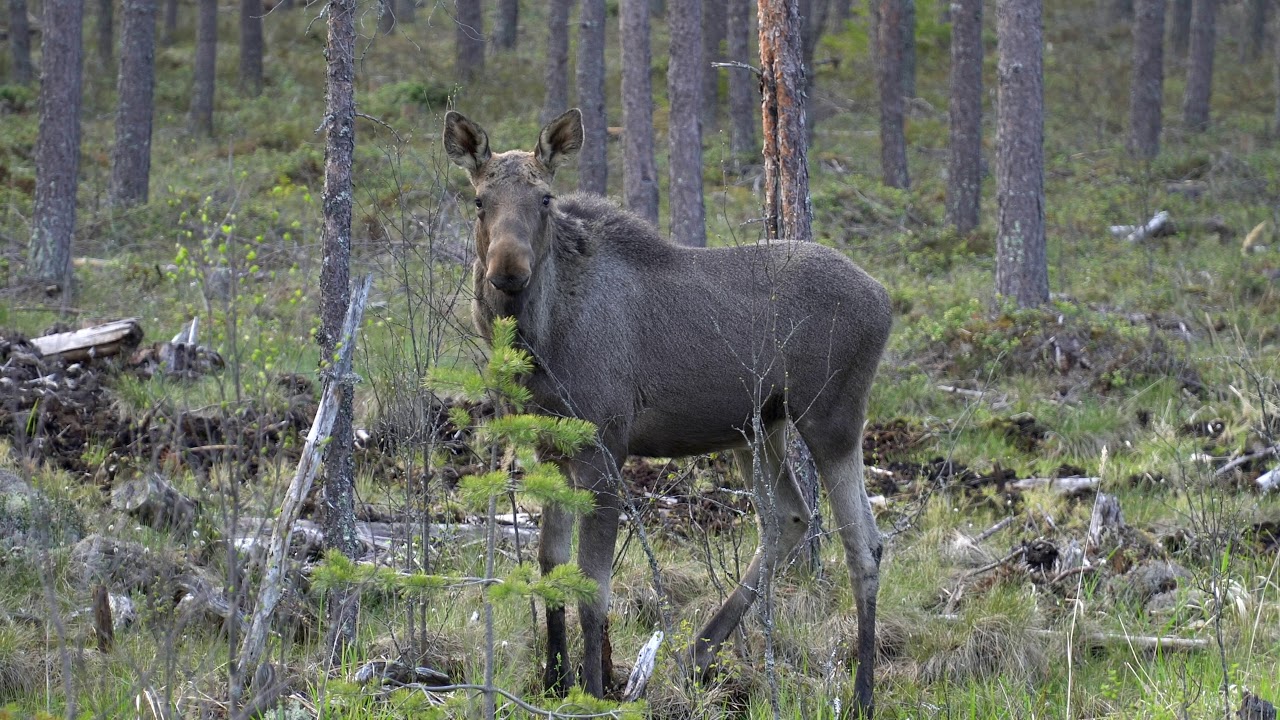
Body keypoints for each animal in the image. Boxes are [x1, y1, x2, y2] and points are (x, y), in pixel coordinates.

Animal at [443, 108, 892, 717]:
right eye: (479, 200)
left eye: (545, 198)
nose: (508, 270)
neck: (538, 342)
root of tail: (886, 299)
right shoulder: (552, 448)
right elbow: (550, 565)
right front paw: (555, 681)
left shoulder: (604, 445)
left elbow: (594, 585)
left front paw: (592, 689)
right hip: (760, 427)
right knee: (788, 518)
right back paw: (697, 653)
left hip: (832, 418)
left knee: (863, 545)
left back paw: (863, 692)